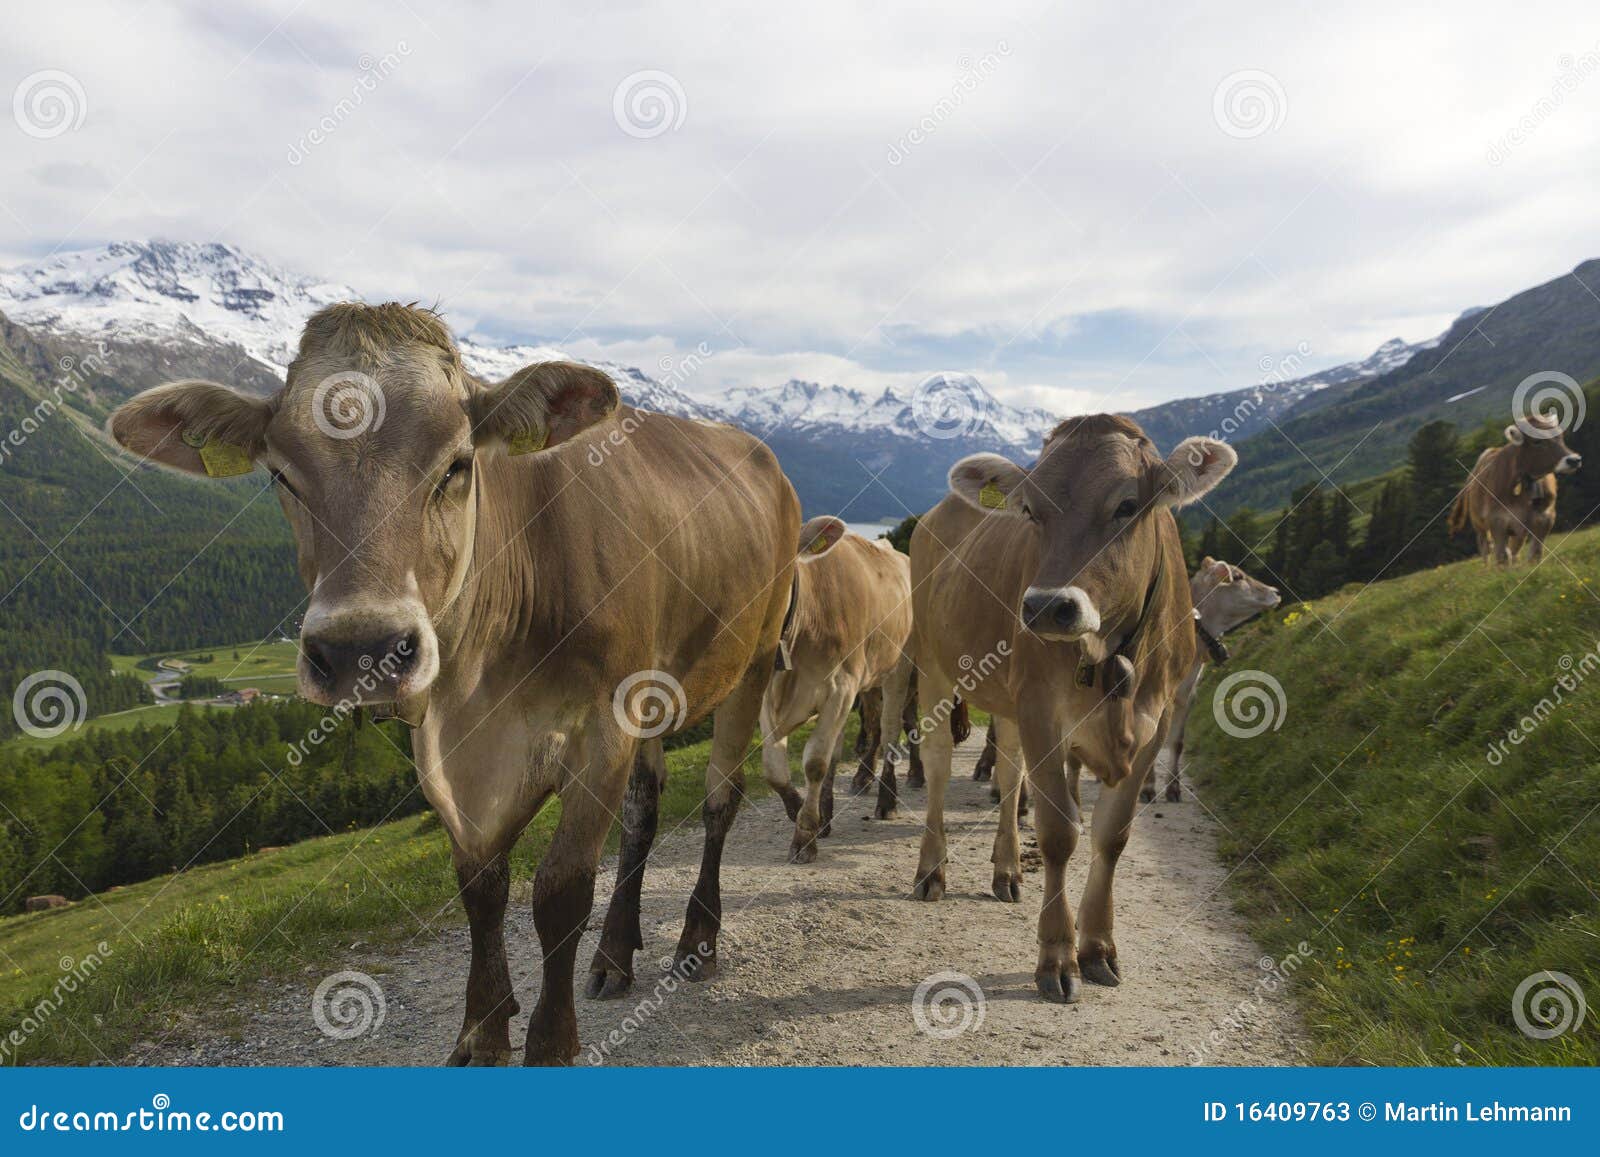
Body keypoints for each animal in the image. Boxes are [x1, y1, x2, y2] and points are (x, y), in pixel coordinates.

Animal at [108, 302, 804, 1065]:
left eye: (457, 464)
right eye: (282, 477)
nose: (359, 649)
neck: (481, 680)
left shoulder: (602, 725)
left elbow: (559, 889)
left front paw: (549, 1041)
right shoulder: (447, 747)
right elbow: (480, 887)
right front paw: (482, 1029)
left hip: (754, 656)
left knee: (718, 799)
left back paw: (696, 937)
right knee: (644, 811)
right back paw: (614, 954)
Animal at [760, 528, 910, 863]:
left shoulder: (841, 688)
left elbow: (815, 762)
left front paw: (804, 837)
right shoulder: (765, 697)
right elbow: (774, 769)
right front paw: (800, 811)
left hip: (899, 667)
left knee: (889, 731)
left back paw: (887, 801)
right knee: (844, 743)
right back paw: (826, 813)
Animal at [878, 414, 1235, 1002]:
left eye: (1127, 505)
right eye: (1031, 511)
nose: (1048, 607)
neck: (1111, 653)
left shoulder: (1154, 722)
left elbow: (1112, 836)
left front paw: (1098, 948)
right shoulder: (1042, 710)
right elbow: (1059, 832)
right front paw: (1058, 957)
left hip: (1005, 698)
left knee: (1007, 770)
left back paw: (1006, 871)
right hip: (931, 663)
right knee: (937, 764)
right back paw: (931, 871)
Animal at [1141, 557, 1279, 803]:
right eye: (1238, 576)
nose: (1275, 591)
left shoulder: (1188, 693)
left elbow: (1177, 742)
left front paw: (1173, 788)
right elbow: (1152, 741)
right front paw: (1147, 788)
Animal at [1449, 411, 1581, 564]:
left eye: (1560, 437)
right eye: (1537, 441)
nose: (1574, 460)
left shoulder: (1545, 519)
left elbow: (1534, 554)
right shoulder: (1497, 521)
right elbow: (1502, 556)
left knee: (1514, 549)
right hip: (1479, 524)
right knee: (1486, 548)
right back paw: (1487, 567)